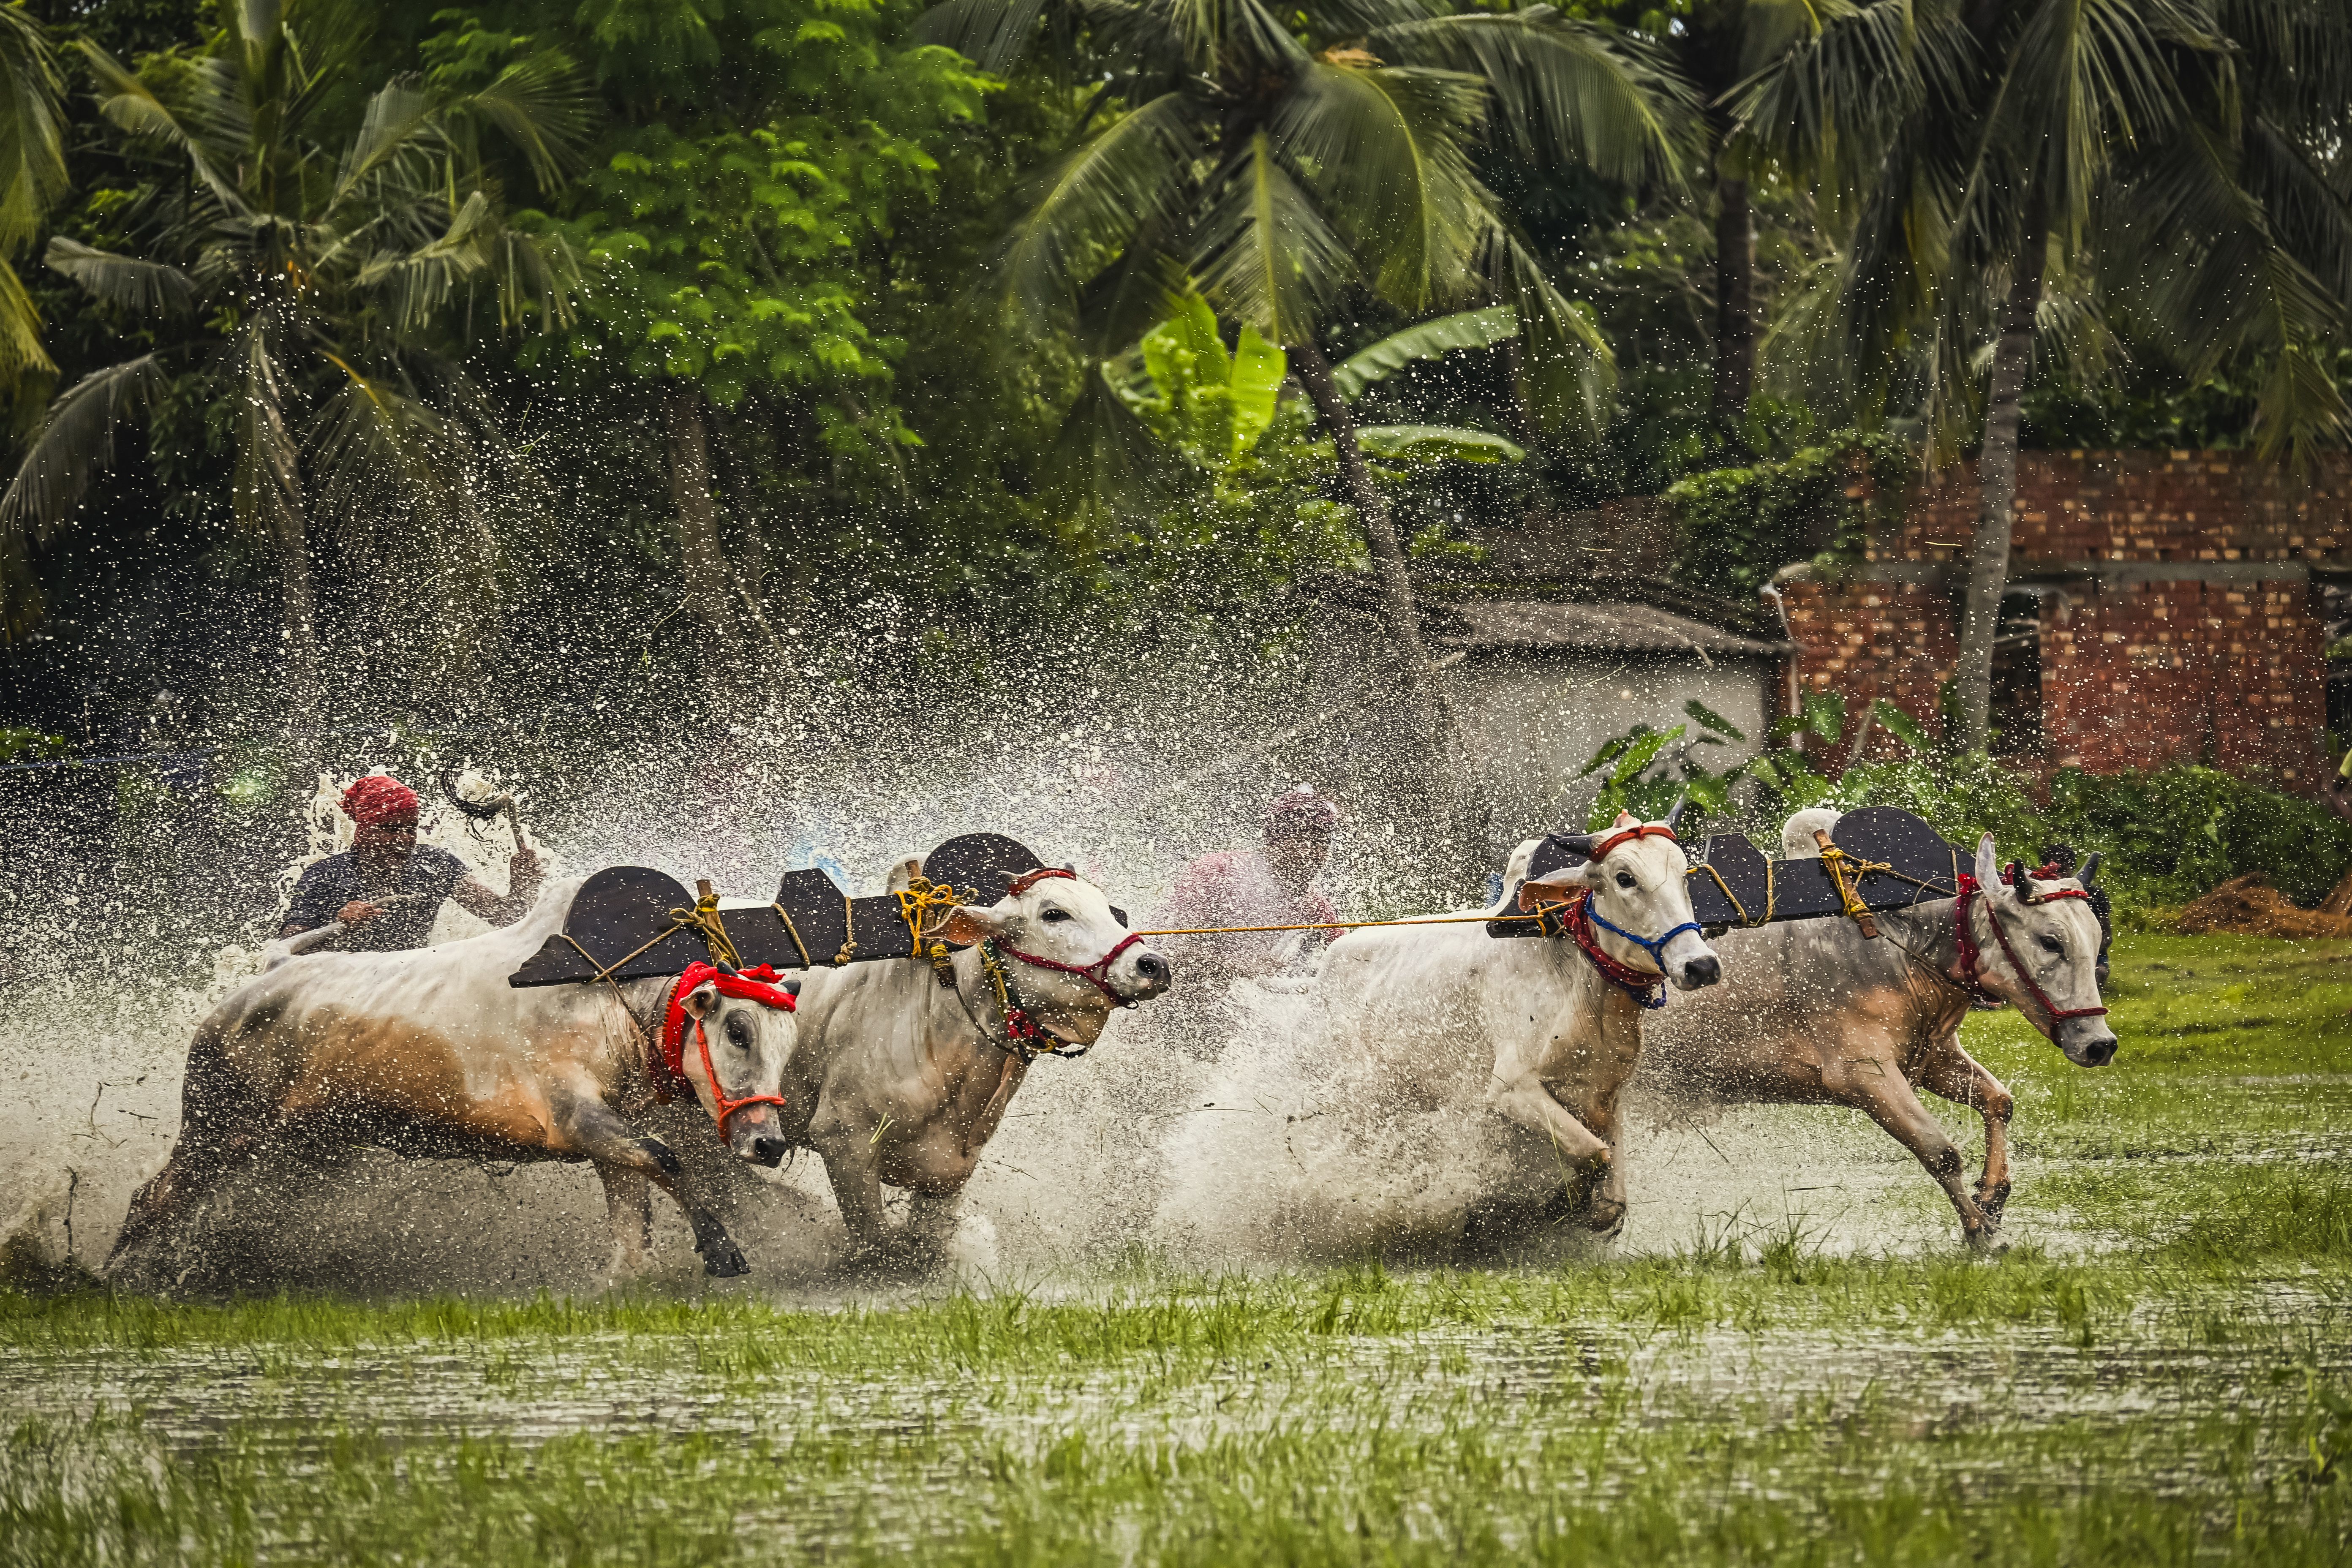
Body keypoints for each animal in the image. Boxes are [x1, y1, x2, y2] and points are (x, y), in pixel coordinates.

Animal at [108, 876, 800, 1284]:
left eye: (787, 1038)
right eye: (737, 1030)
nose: (768, 1142)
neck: (609, 994)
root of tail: (268, 973)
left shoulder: (610, 1138)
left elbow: (635, 1223)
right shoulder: (576, 1117)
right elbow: (668, 1158)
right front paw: (722, 1249)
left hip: (301, 1143)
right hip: (216, 1129)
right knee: (150, 1199)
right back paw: (116, 1276)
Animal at [780, 862, 1174, 1269]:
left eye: (1106, 907)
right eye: (1054, 914)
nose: (1153, 965)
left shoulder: (949, 1176)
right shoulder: (844, 1142)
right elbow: (879, 1245)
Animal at [1303, 810, 1723, 1241]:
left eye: (1684, 875)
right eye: (1625, 878)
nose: (1701, 966)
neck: (1582, 985)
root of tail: (1329, 960)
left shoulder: (1606, 1094)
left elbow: (1610, 1198)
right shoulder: (1511, 1089)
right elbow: (1593, 1153)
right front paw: (1558, 1203)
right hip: (1343, 1095)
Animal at [1637, 809, 2118, 1246]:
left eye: (2096, 937)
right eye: (2050, 941)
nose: (2100, 1045)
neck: (1903, 936)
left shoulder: (1935, 1057)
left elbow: (2000, 1102)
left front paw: (1992, 1196)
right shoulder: (1864, 1073)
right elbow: (1941, 1152)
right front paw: (1981, 1232)